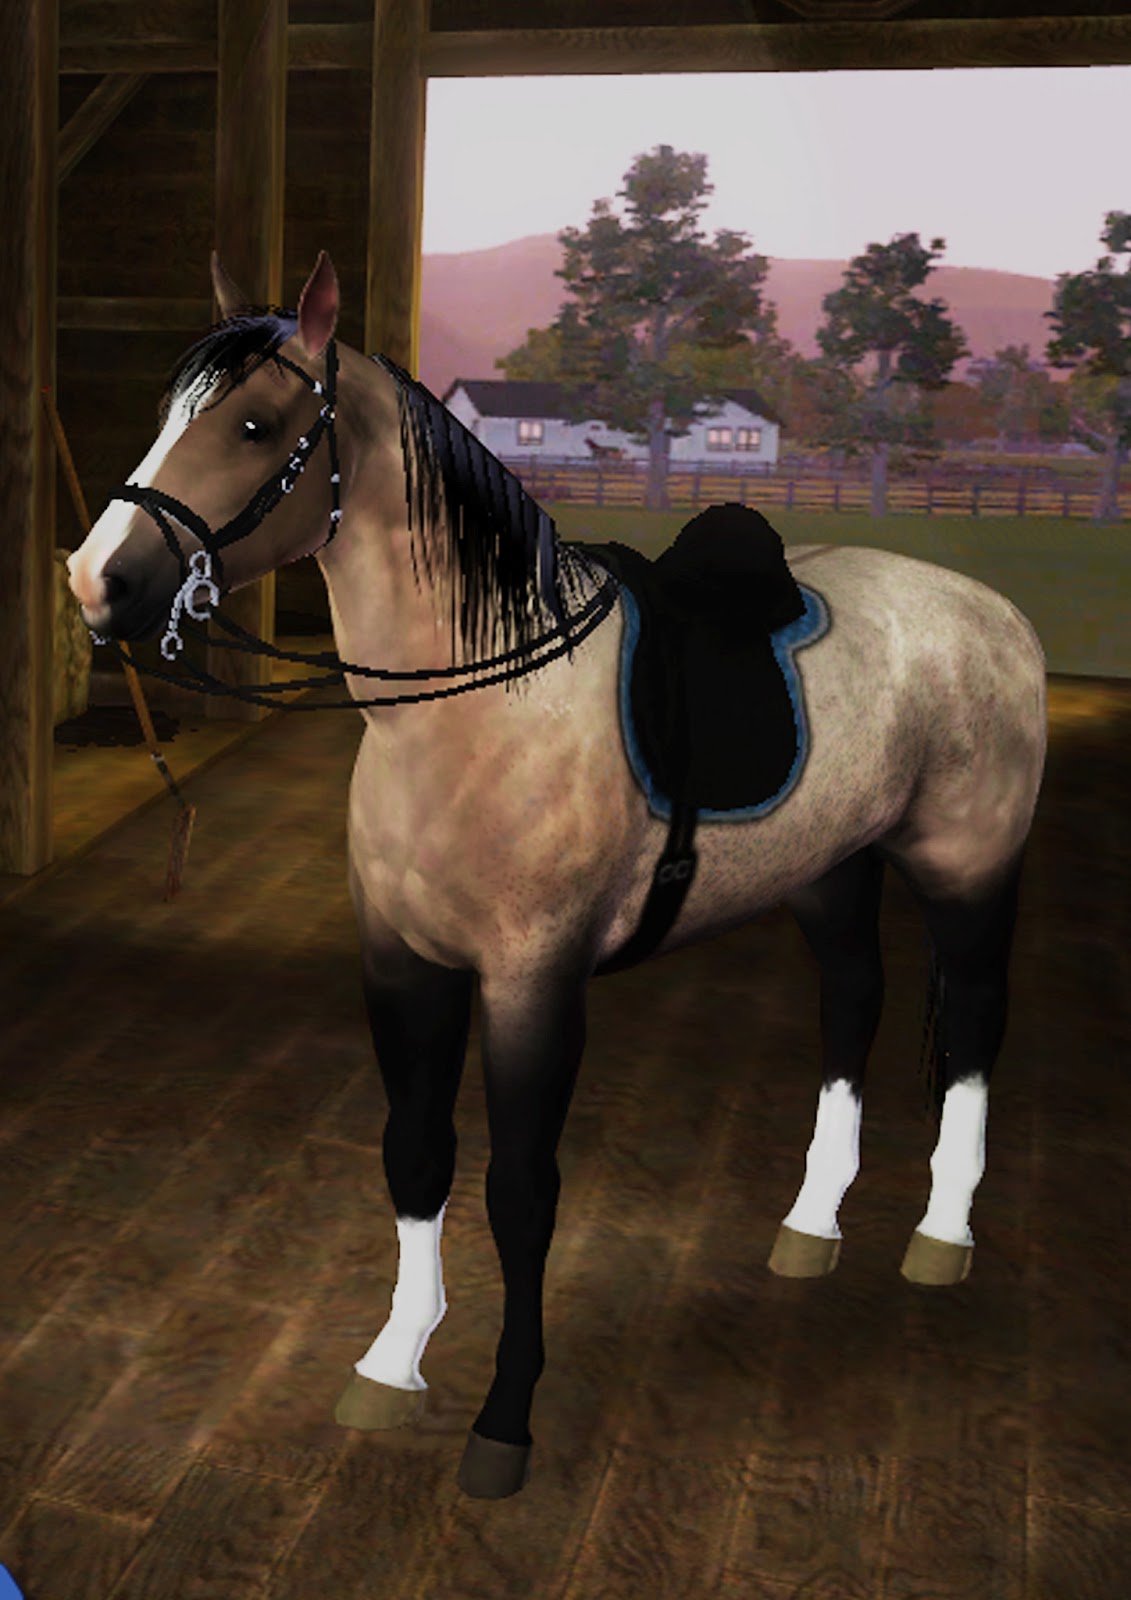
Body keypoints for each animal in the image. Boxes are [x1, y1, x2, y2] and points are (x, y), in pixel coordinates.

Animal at [67, 249, 1047, 1501]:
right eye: (164, 415)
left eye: (253, 424)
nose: (96, 581)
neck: (476, 702)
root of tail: (993, 615)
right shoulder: (403, 966)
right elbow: (416, 1156)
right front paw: (392, 1361)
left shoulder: (534, 980)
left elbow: (521, 1190)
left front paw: (502, 1424)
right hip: (830, 869)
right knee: (851, 1005)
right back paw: (812, 1226)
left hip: (966, 868)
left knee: (969, 1025)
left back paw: (941, 1237)